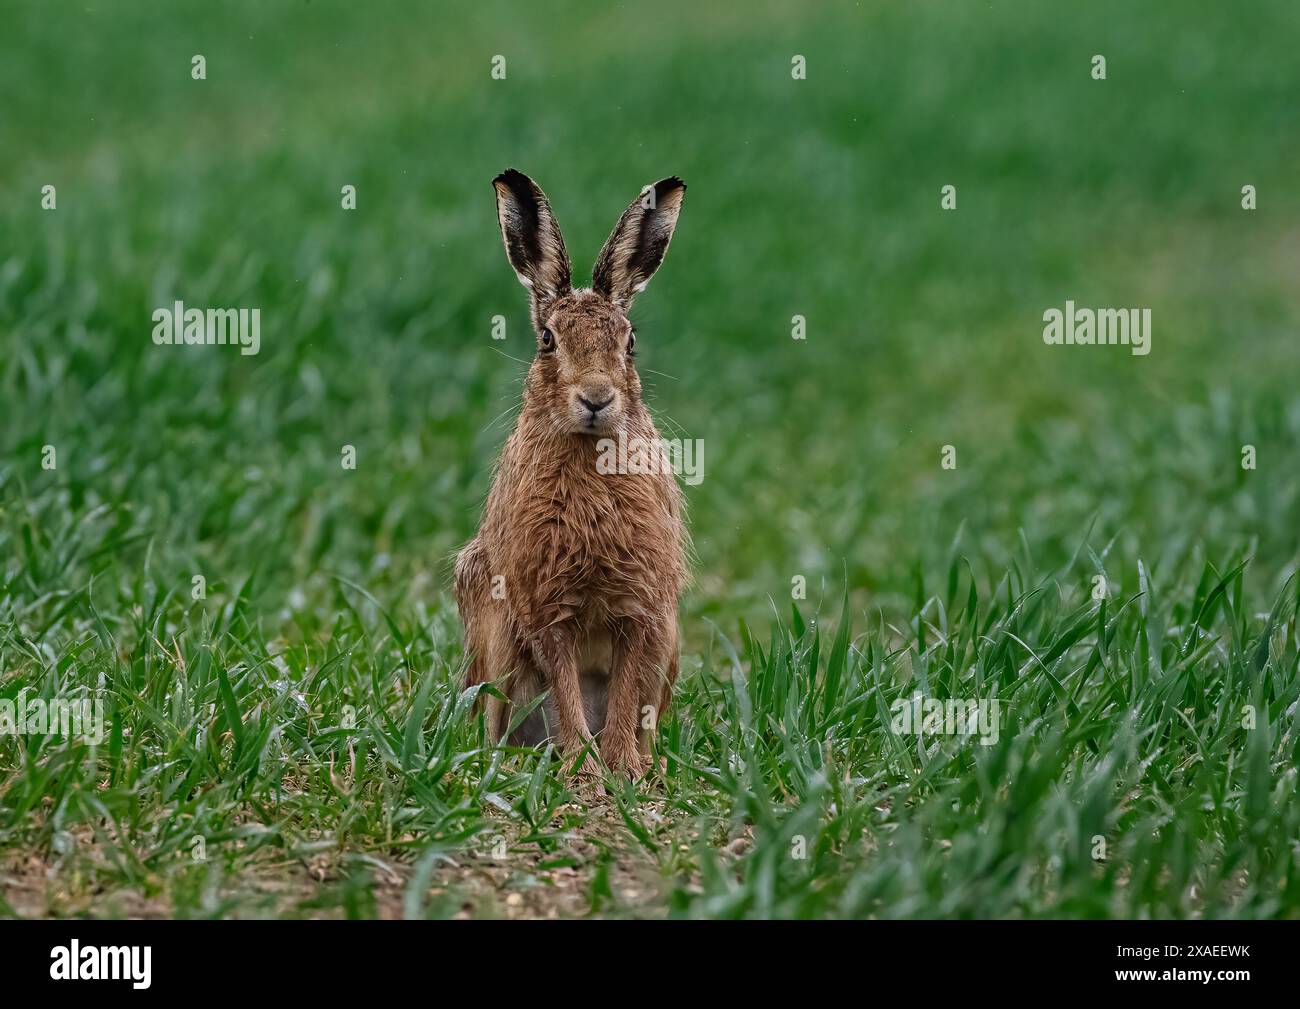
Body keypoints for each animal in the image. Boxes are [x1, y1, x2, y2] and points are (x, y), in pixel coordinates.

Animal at [455, 168, 689, 786]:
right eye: (547, 342)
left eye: (629, 342)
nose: (597, 398)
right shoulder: (543, 604)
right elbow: (562, 685)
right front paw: (584, 769)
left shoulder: (641, 606)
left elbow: (626, 686)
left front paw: (622, 766)